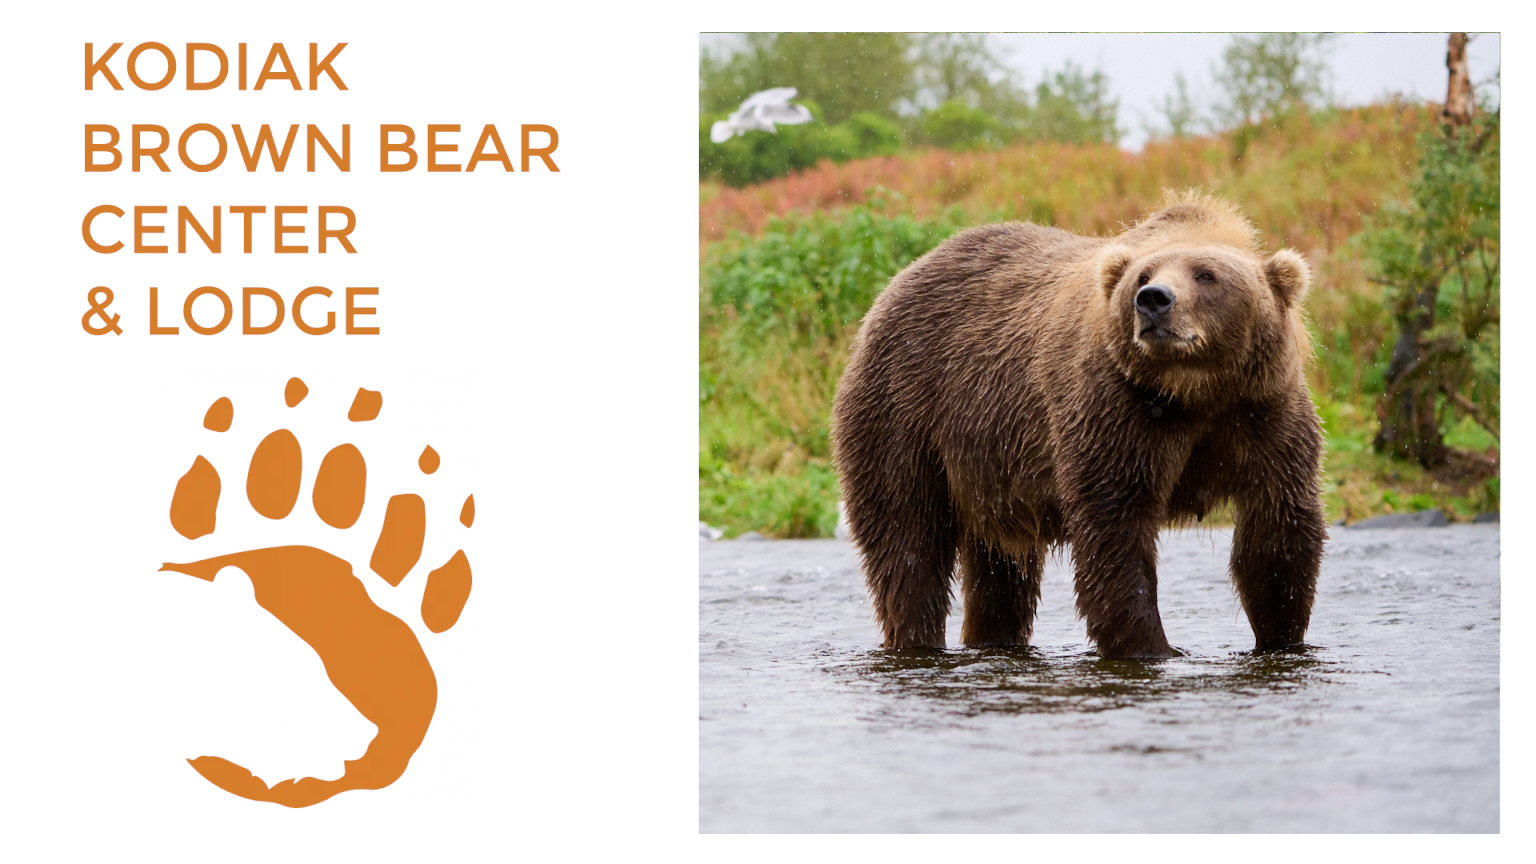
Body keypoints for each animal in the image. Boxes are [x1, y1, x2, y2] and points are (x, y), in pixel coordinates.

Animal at [831, 192, 1326, 659]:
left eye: (1207, 274)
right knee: (907, 539)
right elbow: (1115, 529)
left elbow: (1276, 528)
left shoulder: (1263, 413)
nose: (1154, 300)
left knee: (1000, 570)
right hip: (907, 411)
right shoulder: (1117, 412)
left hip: (990, 467)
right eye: (1143, 277)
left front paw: (1282, 636)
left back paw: (993, 639)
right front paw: (1151, 645)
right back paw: (916, 637)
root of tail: (895, 285)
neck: (1194, 391)